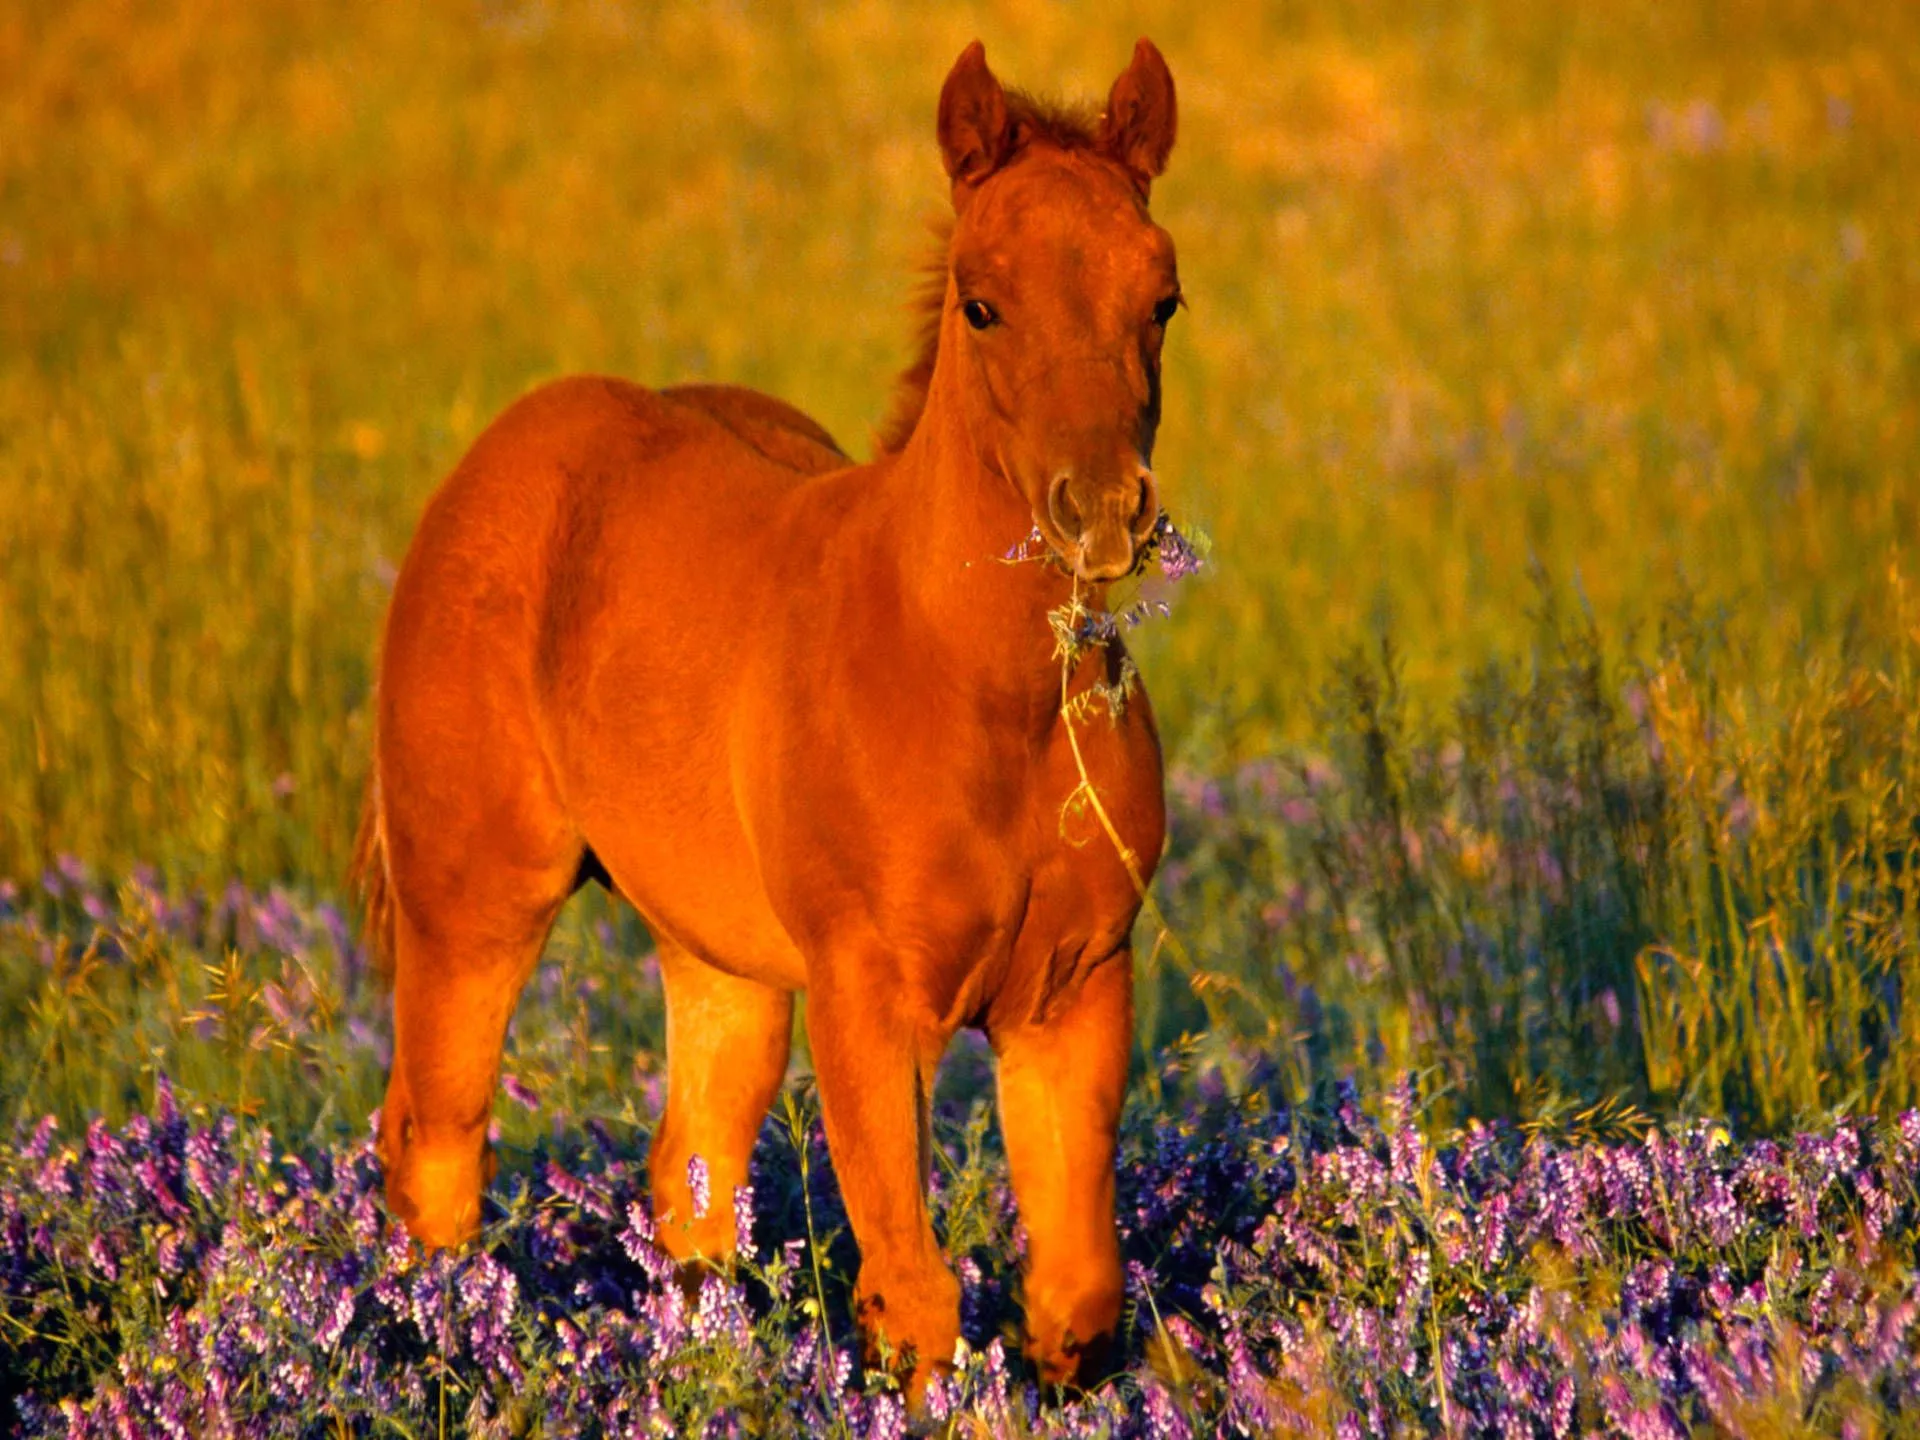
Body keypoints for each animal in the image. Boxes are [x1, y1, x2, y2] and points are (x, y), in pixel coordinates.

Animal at [352, 37, 1180, 1392]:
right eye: (981, 303)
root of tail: (496, 456)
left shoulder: (1072, 990)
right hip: (473, 899)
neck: (982, 696)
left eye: (1161, 297)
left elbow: (1073, 1298)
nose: (1103, 511)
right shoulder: (869, 1000)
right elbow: (916, 1301)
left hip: (720, 959)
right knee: (436, 1151)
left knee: (689, 1185)